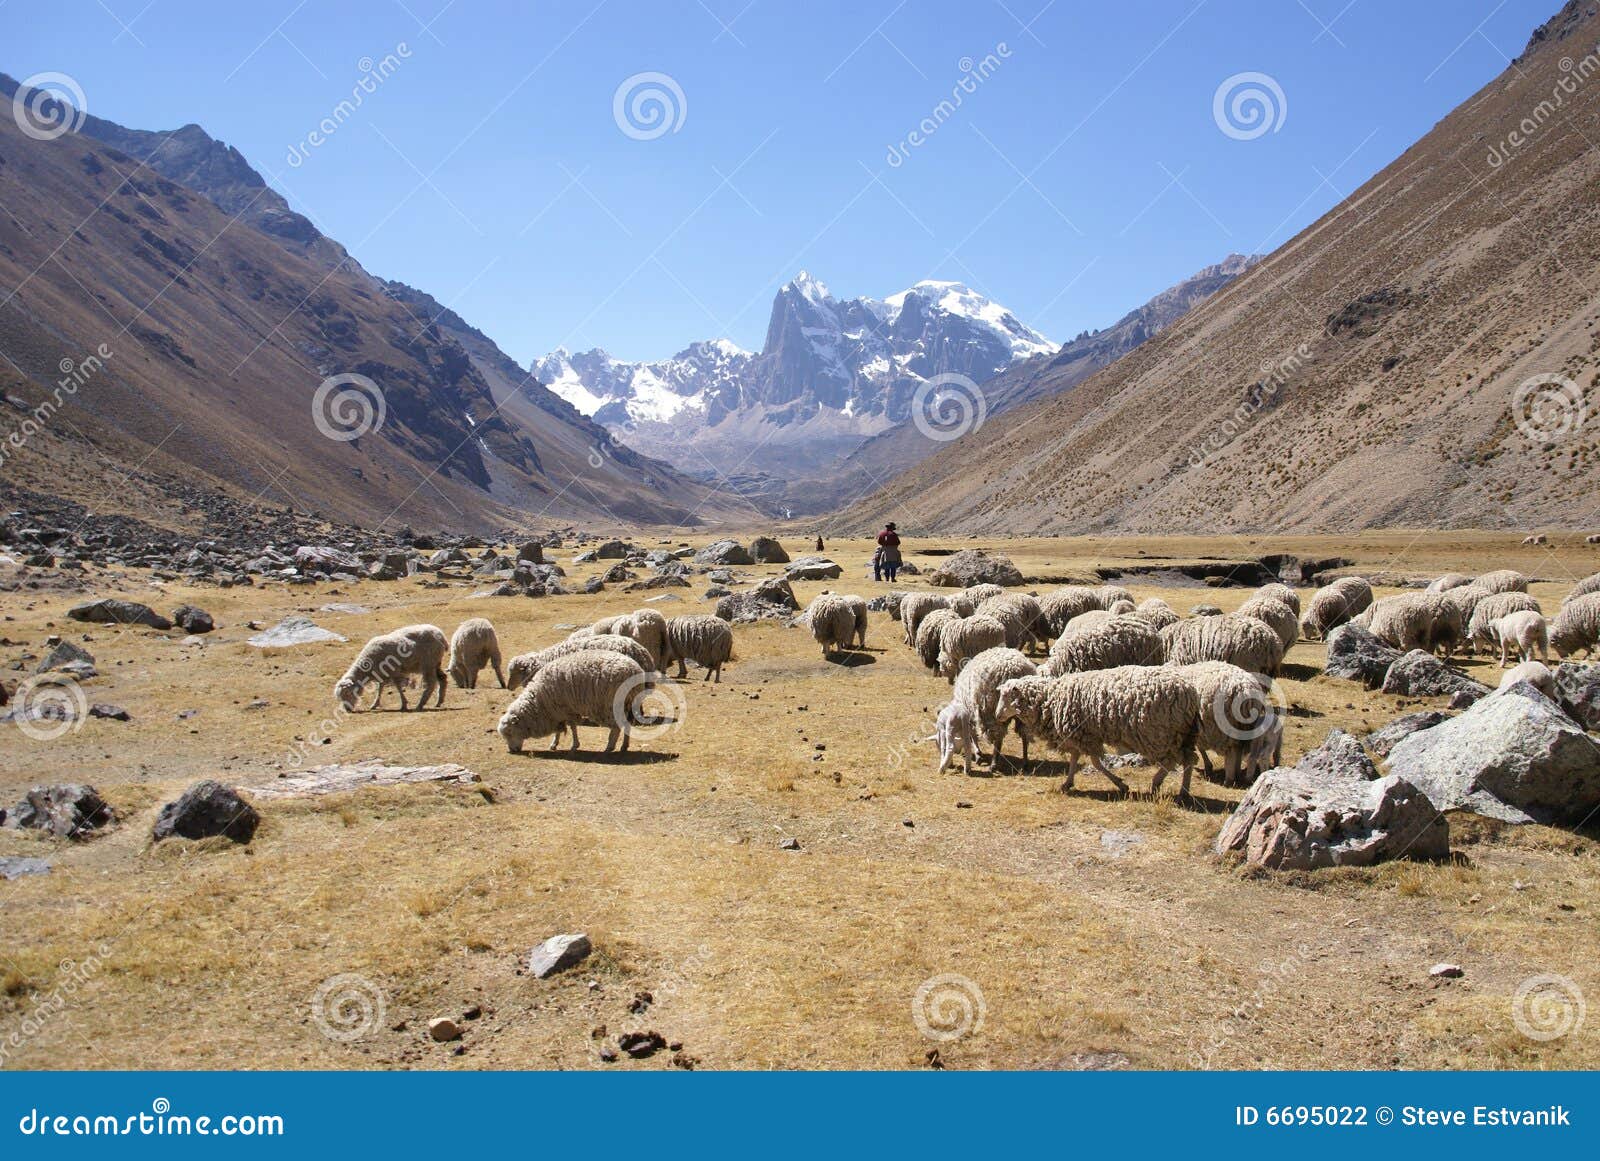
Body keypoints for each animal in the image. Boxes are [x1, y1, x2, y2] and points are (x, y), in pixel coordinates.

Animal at [497, 652, 646, 754]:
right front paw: (555, 744)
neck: (539, 702)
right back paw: (624, 746)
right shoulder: (558, 712)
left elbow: (572, 727)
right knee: (627, 724)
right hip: (627, 704)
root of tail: (635, 669)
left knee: (616, 727)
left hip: (612, 704)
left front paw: (574, 745)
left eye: (509, 732)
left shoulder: (563, 708)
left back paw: (609, 747)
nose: (512, 750)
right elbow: (560, 729)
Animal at [935, 646, 1037, 774]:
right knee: (1025, 735)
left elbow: (973, 735)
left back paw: (994, 764)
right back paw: (1025, 763)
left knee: (998, 738)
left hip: (993, 712)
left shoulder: (973, 716)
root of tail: (1015, 669)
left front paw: (978, 754)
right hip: (1024, 713)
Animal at [994, 667, 1200, 796]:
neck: (1049, 699)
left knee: (1172, 760)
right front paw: (1067, 783)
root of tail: (1189, 692)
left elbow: (1095, 762)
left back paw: (1158, 782)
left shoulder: (1084, 735)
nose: (997, 716)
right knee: (1188, 759)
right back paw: (1184, 791)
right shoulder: (1079, 734)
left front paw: (1121, 784)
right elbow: (1075, 758)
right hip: (1182, 734)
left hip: (1159, 733)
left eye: (1006, 696)